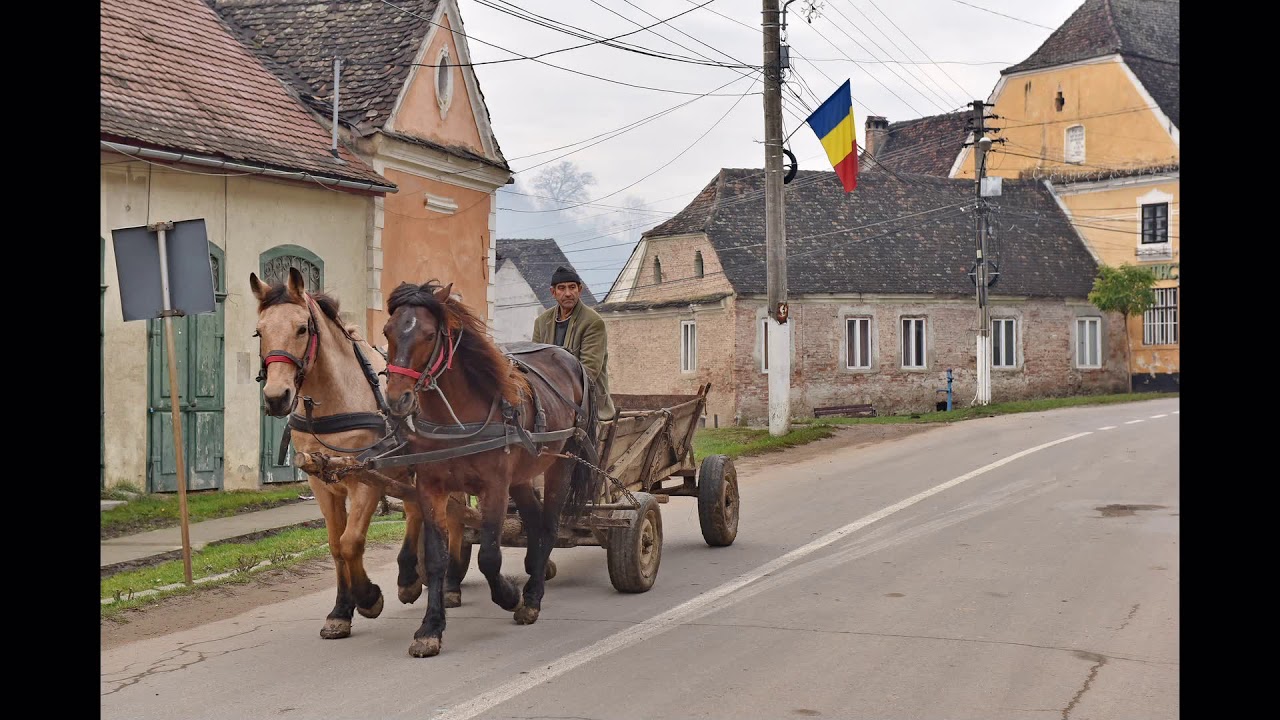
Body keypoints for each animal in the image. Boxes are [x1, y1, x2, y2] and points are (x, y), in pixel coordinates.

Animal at [249, 267, 470, 640]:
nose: (277, 397)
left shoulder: (364, 480)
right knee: (415, 510)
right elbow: (336, 545)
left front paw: (367, 598)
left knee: (454, 517)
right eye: (259, 331)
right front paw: (341, 611)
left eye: (302, 328)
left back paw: (449, 581)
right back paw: (410, 576)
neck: (333, 401)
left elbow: (352, 541)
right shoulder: (322, 483)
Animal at [379, 280, 601, 658]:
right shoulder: (431, 487)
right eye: (388, 331)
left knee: (549, 526)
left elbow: (489, 556)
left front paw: (510, 596)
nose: (397, 400)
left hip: (560, 463)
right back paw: (534, 570)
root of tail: (570, 359)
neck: (457, 416)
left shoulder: (494, 487)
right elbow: (436, 558)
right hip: (523, 475)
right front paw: (430, 628)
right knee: (535, 521)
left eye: (428, 334)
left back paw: (532, 597)